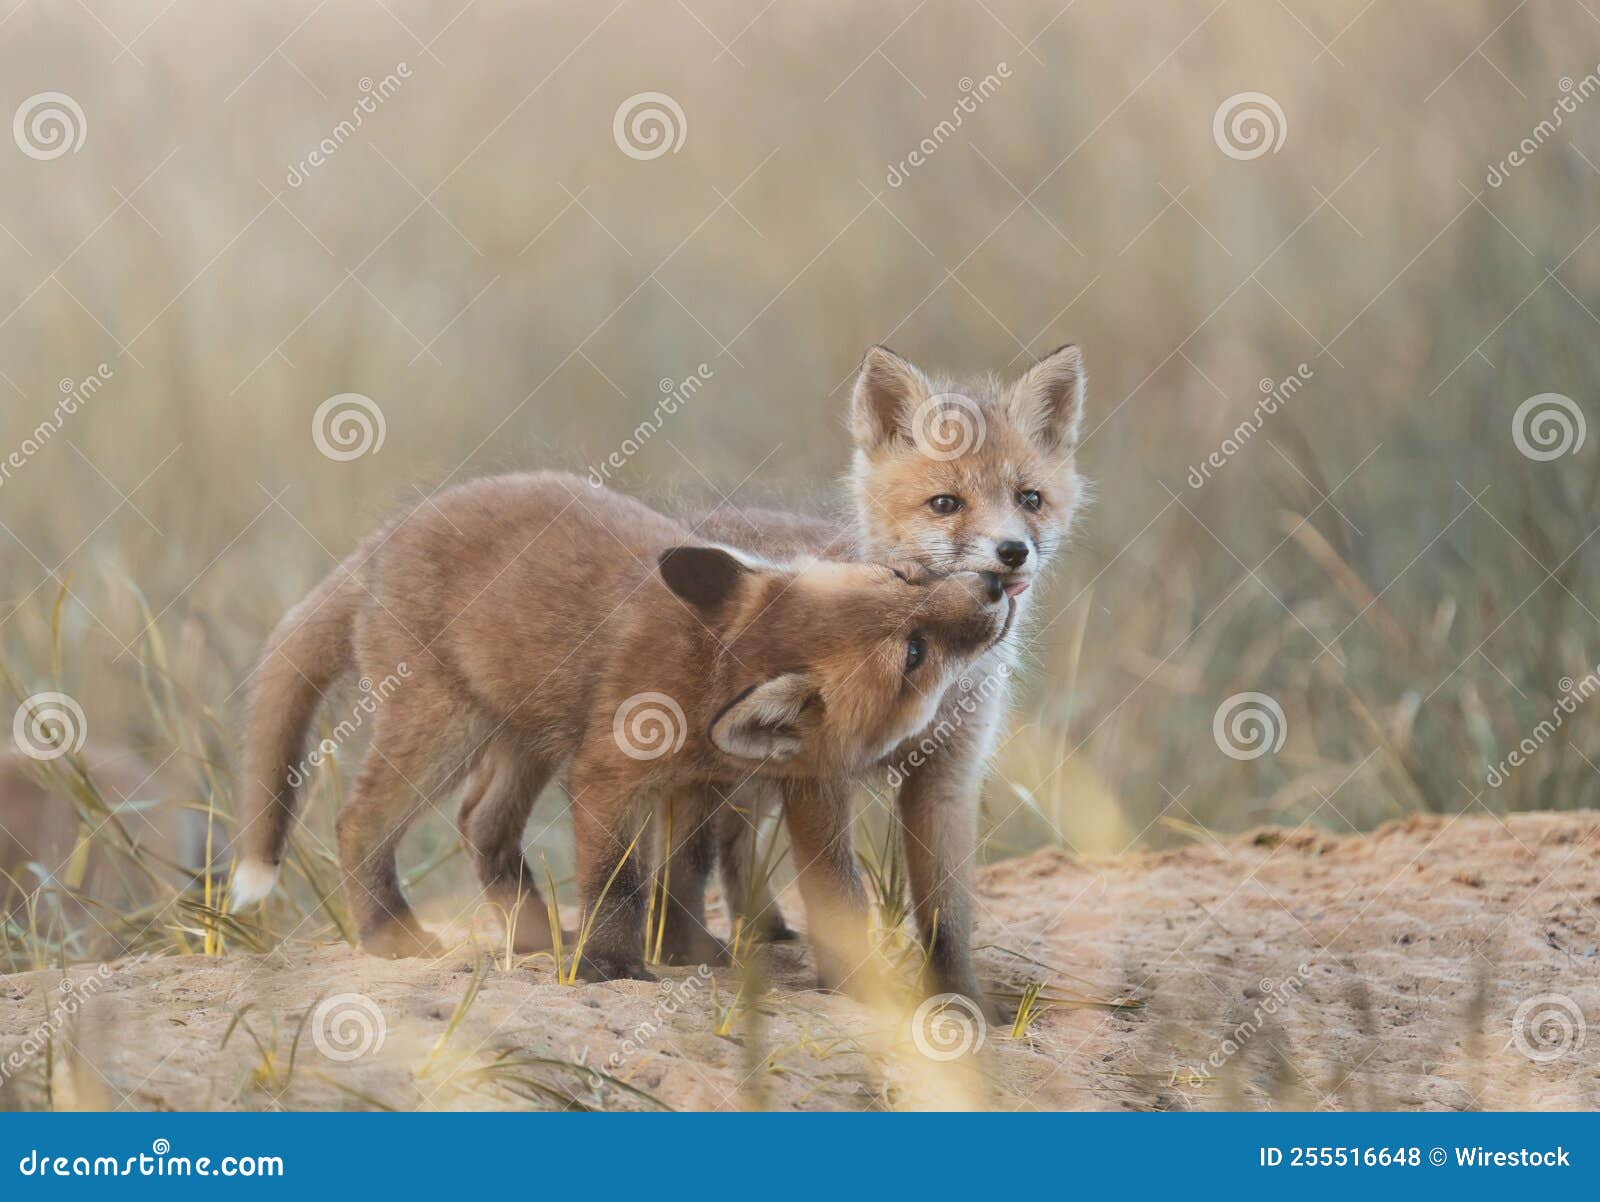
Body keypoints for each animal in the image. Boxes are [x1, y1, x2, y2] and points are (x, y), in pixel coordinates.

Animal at [229, 471, 1011, 984]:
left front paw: (688, 951)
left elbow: (683, 873)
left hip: (528, 739)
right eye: (914, 653)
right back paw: (392, 934)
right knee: (359, 820)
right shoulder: (606, 775)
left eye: (903, 580)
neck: (701, 669)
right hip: (444, 730)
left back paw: (538, 936)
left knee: (481, 823)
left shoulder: (700, 783)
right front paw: (609, 962)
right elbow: (620, 882)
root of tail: (383, 539)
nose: (994, 586)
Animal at [658, 343, 1087, 1016]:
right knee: (686, 854)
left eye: (1030, 498)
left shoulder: (945, 778)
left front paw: (963, 1003)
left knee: (734, 843)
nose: (1012, 552)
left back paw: (760, 926)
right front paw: (861, 997)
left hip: (753, 772)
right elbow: (842, 897)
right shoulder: (818, 780)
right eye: (946, 503)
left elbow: (947, 915)